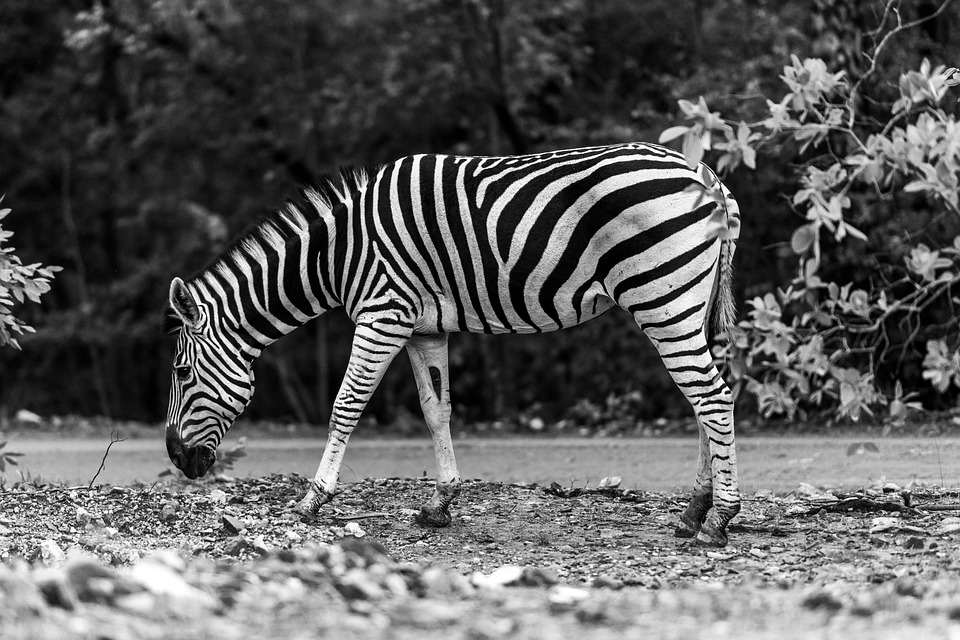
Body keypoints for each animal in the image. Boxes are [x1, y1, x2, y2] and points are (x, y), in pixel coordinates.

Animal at [164, 142, 742, 546]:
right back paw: (693, 513)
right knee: (704, 398)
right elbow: (435, 409)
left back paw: (719, 521)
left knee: (712, 398)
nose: (176, 459)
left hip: (661, 298)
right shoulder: (423, 327)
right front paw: (440, 504)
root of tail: (704, 174)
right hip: (689, 306)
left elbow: (345, 406)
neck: (340, 254)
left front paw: (311, 501)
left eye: (180, 373)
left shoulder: (383, 315)